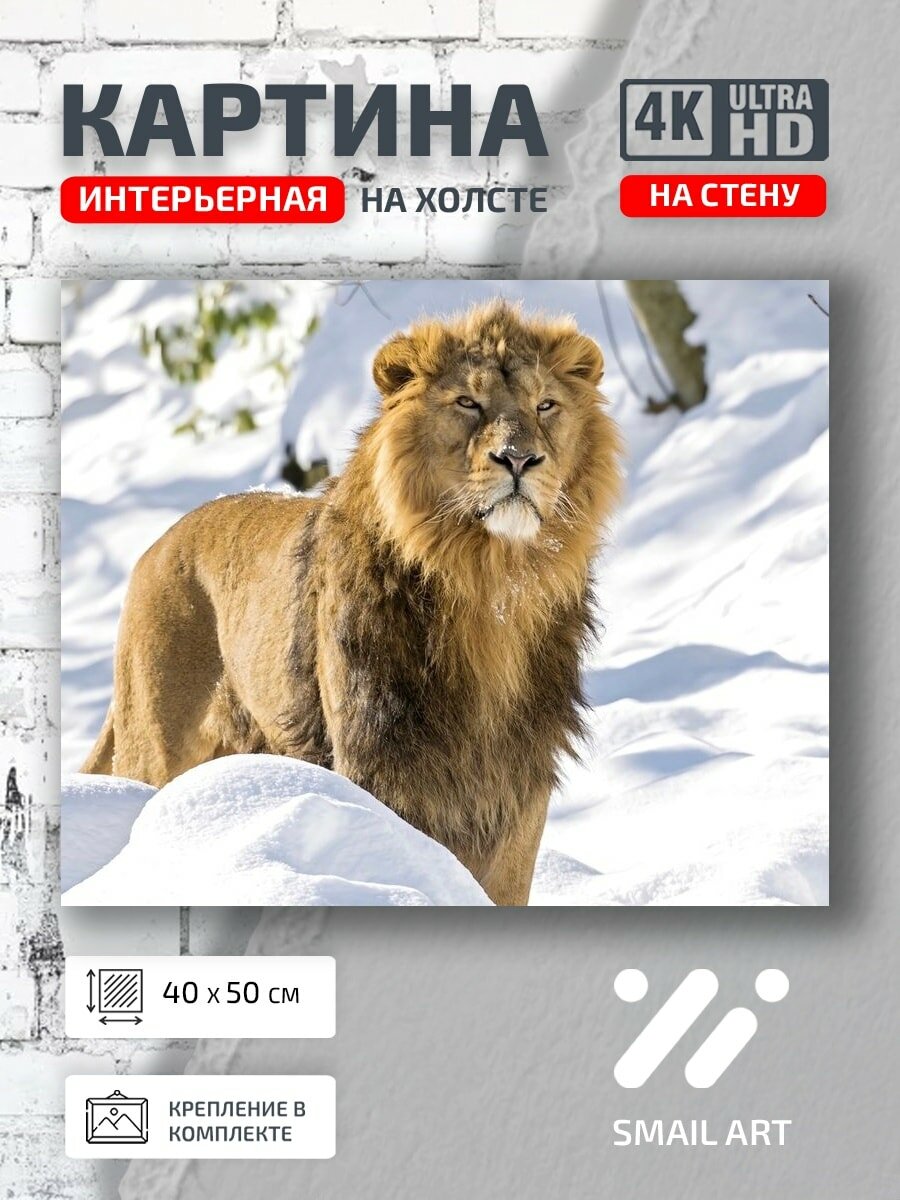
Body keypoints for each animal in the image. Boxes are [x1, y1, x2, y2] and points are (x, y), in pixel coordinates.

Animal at [82, 299, 622, 905]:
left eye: (545, 405)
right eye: (468, 402)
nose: (519, 459)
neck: (490, 587)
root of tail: (156, 546)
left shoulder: (519, 783)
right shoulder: (379, 759)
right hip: (153, 746)